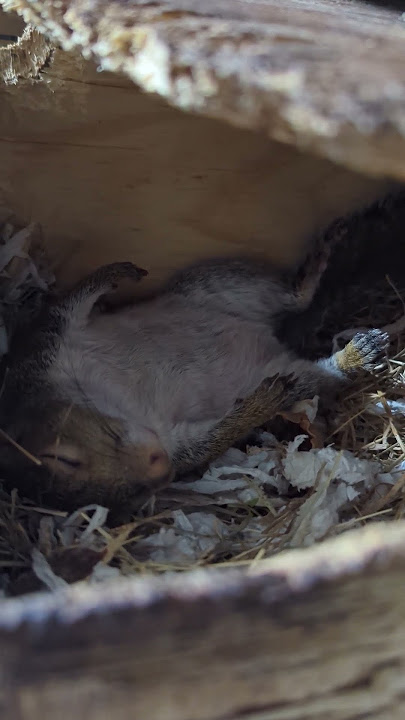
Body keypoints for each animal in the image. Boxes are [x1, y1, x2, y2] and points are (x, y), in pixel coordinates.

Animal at [0, 240, 388, 513]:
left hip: (220, 282)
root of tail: (268, 335)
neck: (124, 407)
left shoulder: (48, 342)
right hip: (297, 376)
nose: (160, 471)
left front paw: (117, 273)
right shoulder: (178, 444)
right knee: (321, 372)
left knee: (293, 297)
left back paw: (316, 267)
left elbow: (75, 299)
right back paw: (353, 357)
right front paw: (259, 403)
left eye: (64, 458)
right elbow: (216, 436)